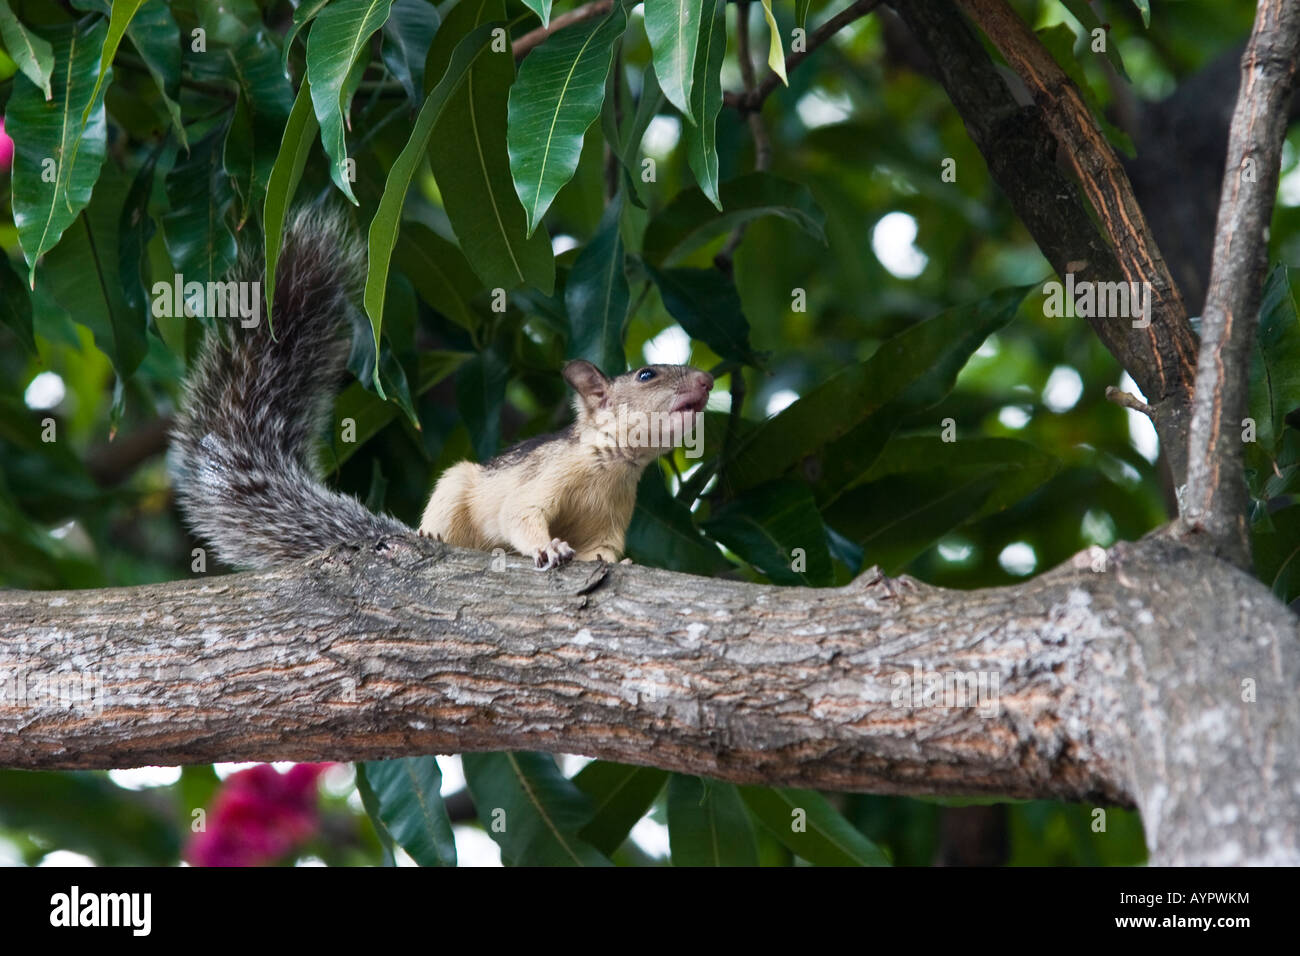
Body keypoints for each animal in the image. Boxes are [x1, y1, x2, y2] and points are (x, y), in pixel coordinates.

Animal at [169, 207, 712, 572]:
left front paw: (613, 562)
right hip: (455, 489)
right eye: (647, 375)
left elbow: (606, 547)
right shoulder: (547, 476)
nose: (708, 380)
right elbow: (522, 515)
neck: (613, 466)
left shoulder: (614, 518)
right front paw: (547, 546)